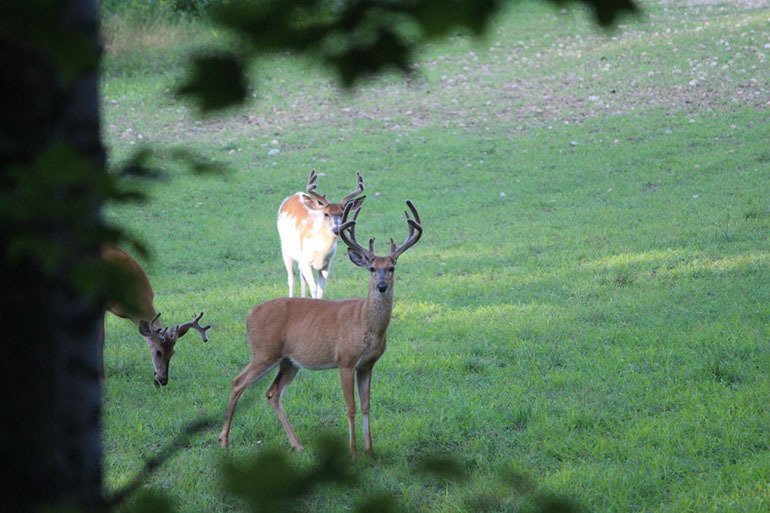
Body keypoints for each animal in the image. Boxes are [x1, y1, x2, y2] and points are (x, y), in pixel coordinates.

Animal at [219, 199, 423, 457]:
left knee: (272, 393)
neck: (367, 324)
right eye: (372, 269)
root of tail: (249, 314)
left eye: (392, 267)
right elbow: (351, 406)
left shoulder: (367, 364)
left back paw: (297, 444)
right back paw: (223, 440)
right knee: (237, 382)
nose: (382, 286)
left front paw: (370, 450)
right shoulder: (345, 360)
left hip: (289, 361)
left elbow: (367, 405)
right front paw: (354, 452)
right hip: (265, 351)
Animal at [276, 169, 366, 299]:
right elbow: (313, 289)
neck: (320, 251)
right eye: (326, 214)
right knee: (291, 278)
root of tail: (293, 196)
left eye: (342, 213)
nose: (336, 229)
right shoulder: (306, 262)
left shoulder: (326, 265)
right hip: (286, 250)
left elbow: (320, 291)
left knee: (301, 277)